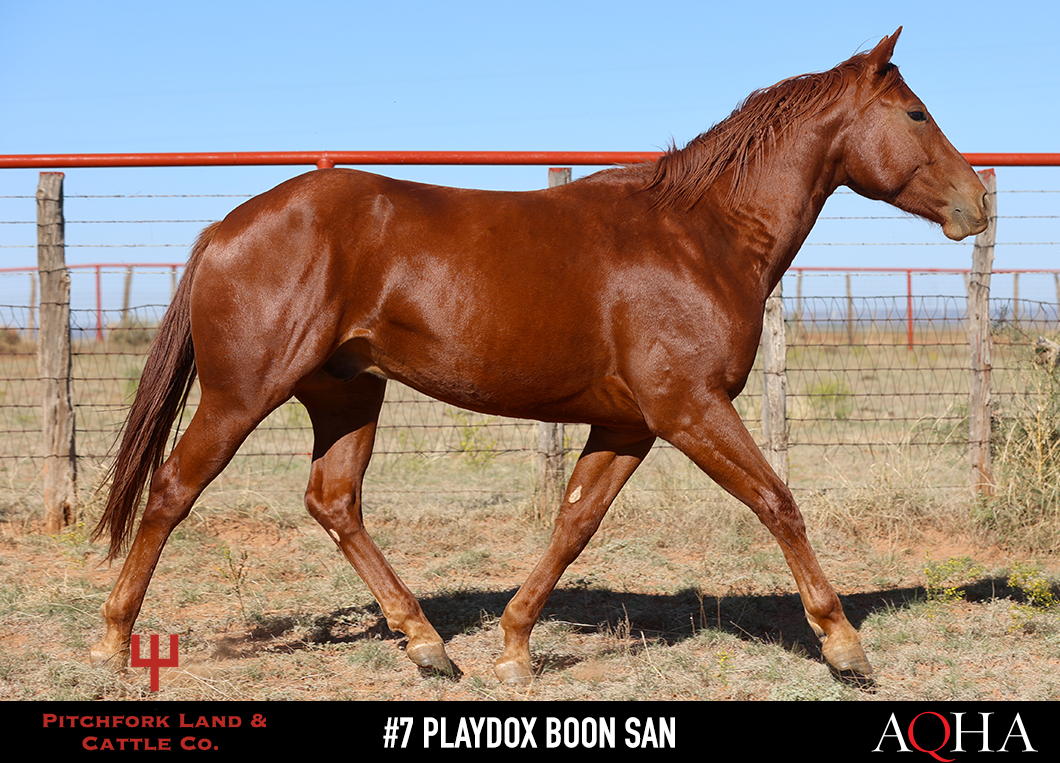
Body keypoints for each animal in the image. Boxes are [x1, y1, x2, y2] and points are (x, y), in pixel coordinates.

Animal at [89, 27, 988, 685]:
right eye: (915, 113)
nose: (980, 202)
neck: (701, 237)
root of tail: (222, 228)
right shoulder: (690, 408)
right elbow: (778, 501)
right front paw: (845, 646)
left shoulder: (630, 424)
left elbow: (574, 523)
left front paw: (515, 645)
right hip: (242, 395)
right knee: (172, 491)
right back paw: (109, 643)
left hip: (347, 395)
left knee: (333, 502)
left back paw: (429, 646)